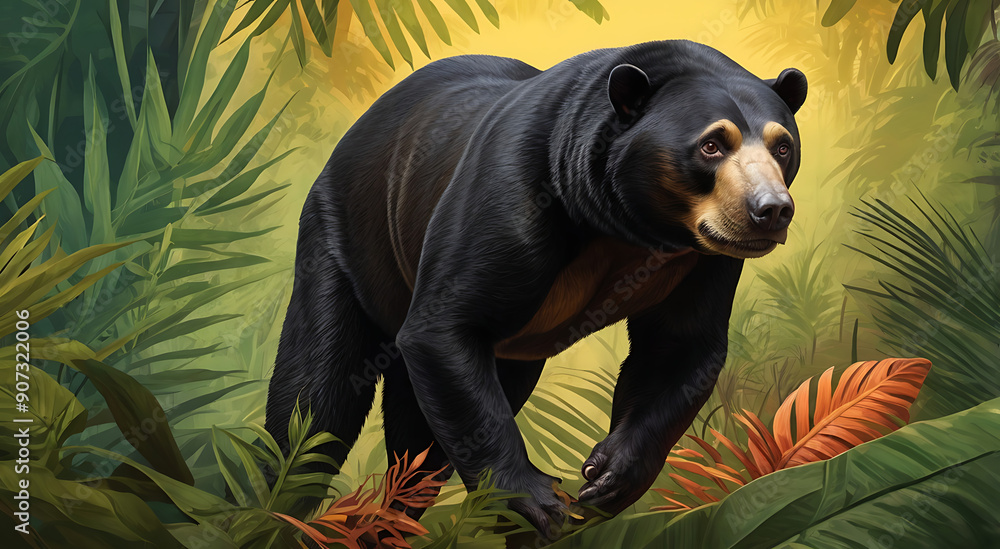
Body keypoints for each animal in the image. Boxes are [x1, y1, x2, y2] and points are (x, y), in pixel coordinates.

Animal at [265, 39, 806, 536]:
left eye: (782, 146)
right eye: (712, 144)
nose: (771, 209)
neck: (629, 229)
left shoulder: (701, 258)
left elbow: (680, 346)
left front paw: (610, 474)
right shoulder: (515, 195)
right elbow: (444, 325)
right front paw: (534, 497)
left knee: (421, 436)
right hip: (347, 240)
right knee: (315, 401)